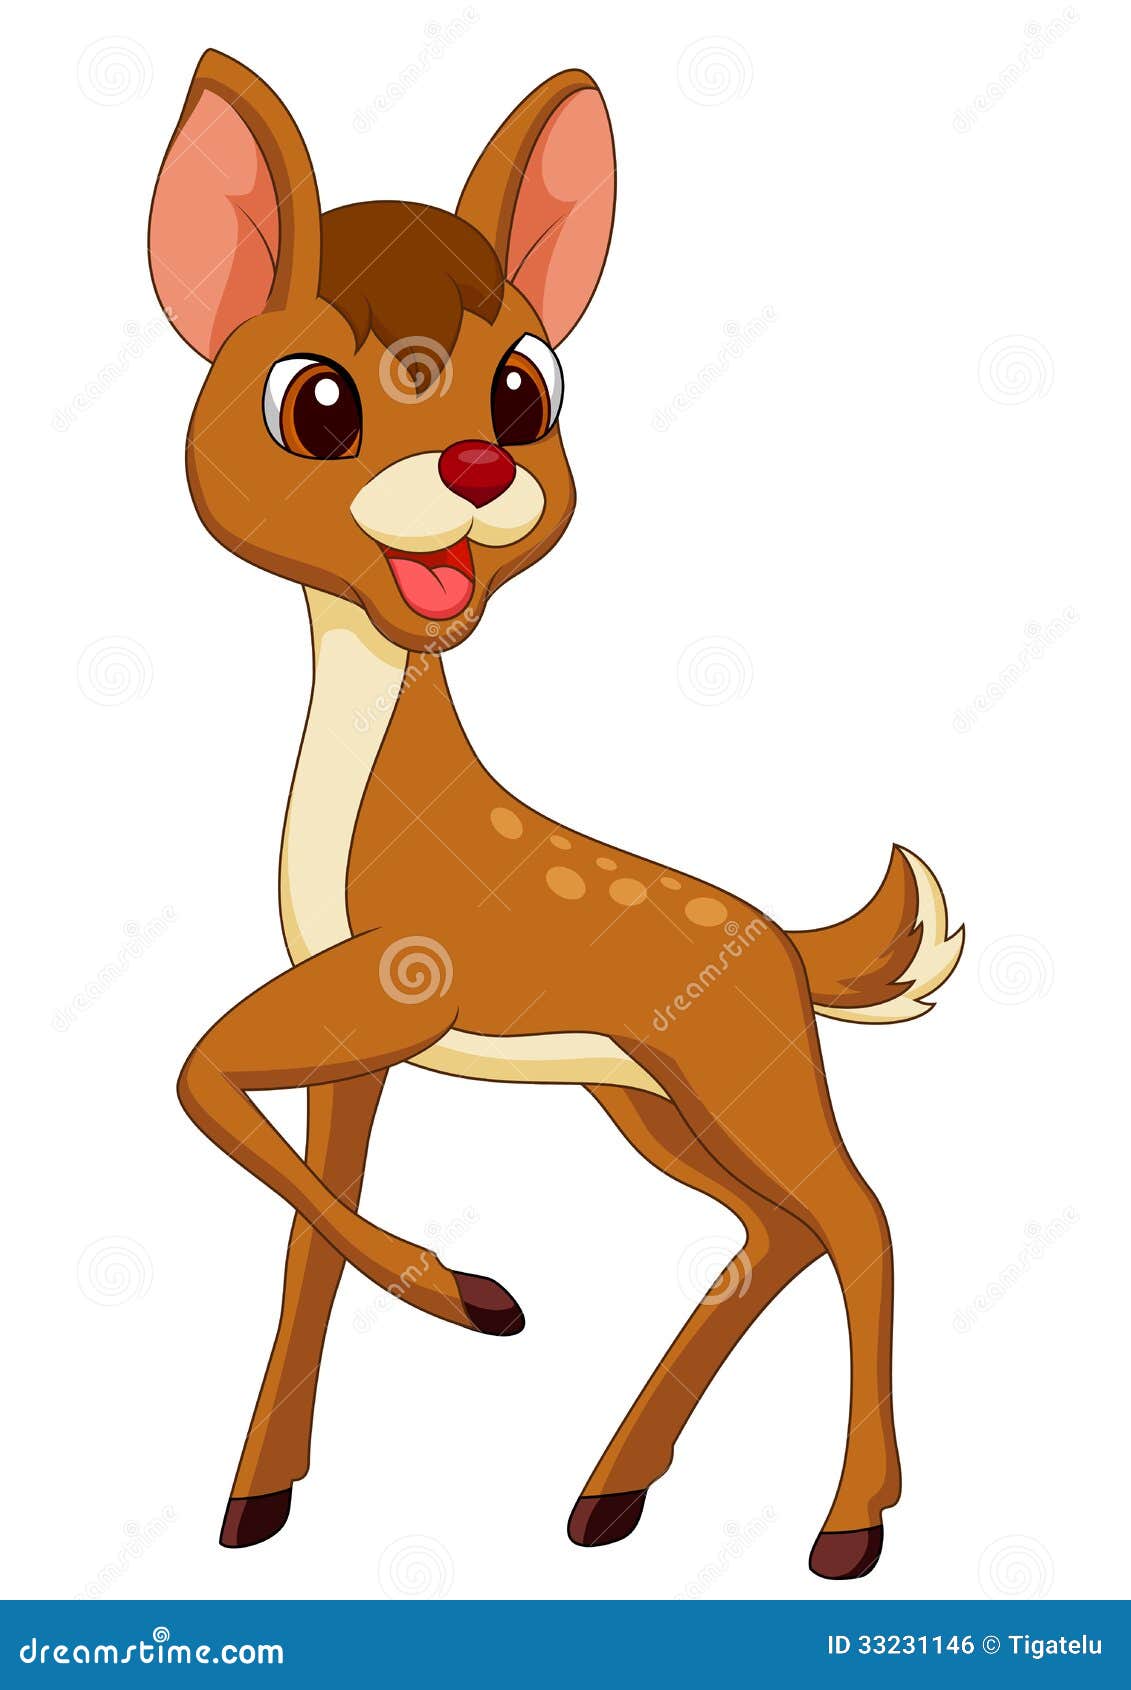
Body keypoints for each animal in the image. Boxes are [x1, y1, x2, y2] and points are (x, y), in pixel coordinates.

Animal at [150, 49, 963, 1581]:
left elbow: (199, 1074)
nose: (479, 467)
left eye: (524, 388)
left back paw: (845, 1528)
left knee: (859, 1215)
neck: (374, 809)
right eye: (315, 404)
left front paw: (476, 1297)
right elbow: (284, 1204)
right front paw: (259, 1497)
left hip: (741, 1076)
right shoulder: (358, 1039)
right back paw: (608, 1496)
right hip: (646, 1095)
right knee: (776, 1234)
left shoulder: (404, 979)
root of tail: (783, 944)